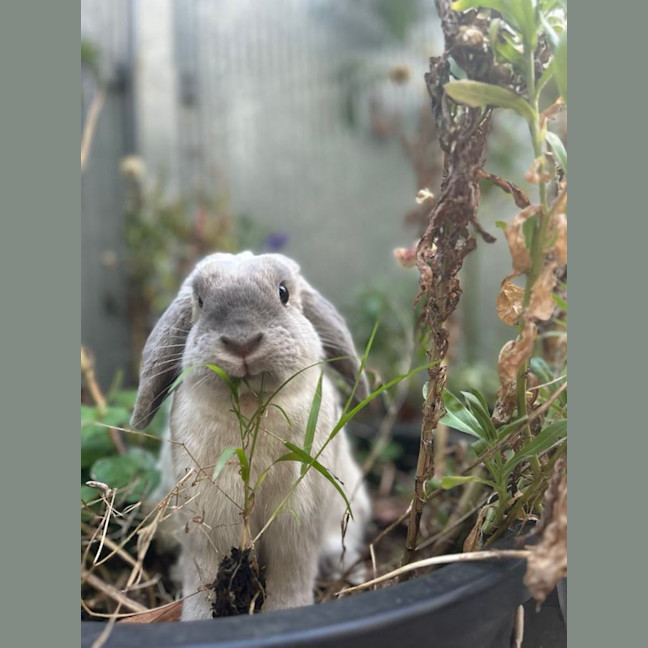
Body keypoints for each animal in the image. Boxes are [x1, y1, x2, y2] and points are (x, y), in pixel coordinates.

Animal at [130, 251, 372, 620]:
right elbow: (202, 575)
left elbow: (292, 574)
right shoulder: (209, 523)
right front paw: (198, 619)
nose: (241, 342)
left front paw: (286, 612)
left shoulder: (297, 523)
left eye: (284, 292)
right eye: (200, 301)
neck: (249, 404)